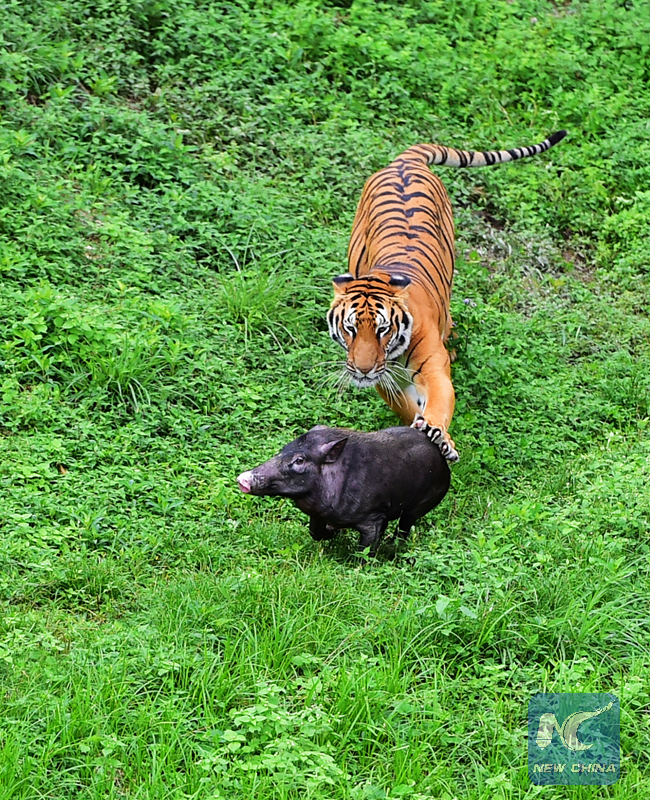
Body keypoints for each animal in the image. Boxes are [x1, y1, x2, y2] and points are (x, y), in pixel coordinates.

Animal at [327, 130, 567, 462]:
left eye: (382, 329)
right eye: (349, 328)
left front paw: (438, 434)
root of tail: (405, 161)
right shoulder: (385, 381)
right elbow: (404, 407)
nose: (362, 370)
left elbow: (439, 402)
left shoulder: (433, 369)